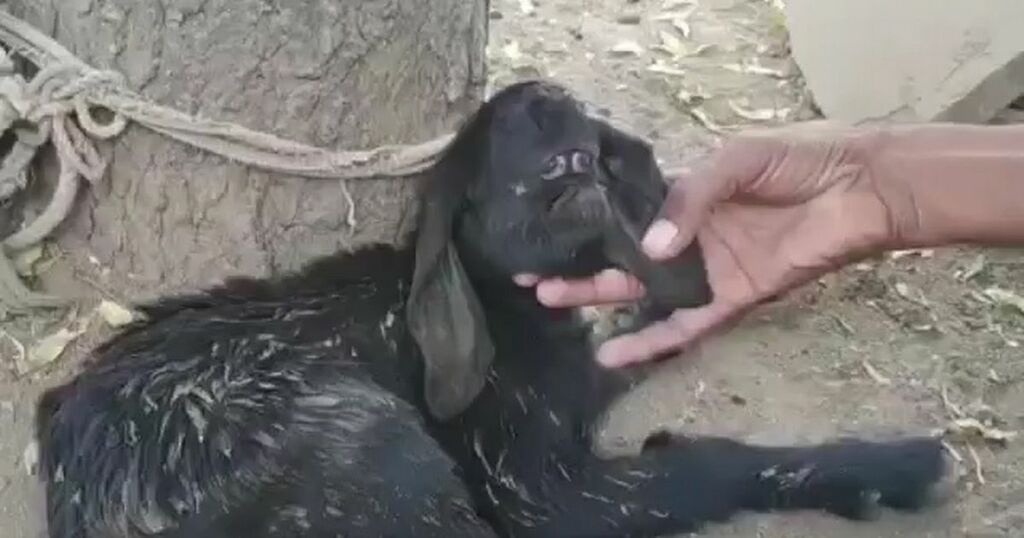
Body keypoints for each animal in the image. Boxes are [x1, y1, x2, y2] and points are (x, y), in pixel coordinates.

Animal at [35, 80, 949, 538]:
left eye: (599, 160)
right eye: (511, 162)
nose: (539, 94)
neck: (512, 315)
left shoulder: (580, 370)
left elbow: (638, 336)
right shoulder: (538, 492)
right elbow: (704, 465)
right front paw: (893, 464)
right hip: (379, 446)